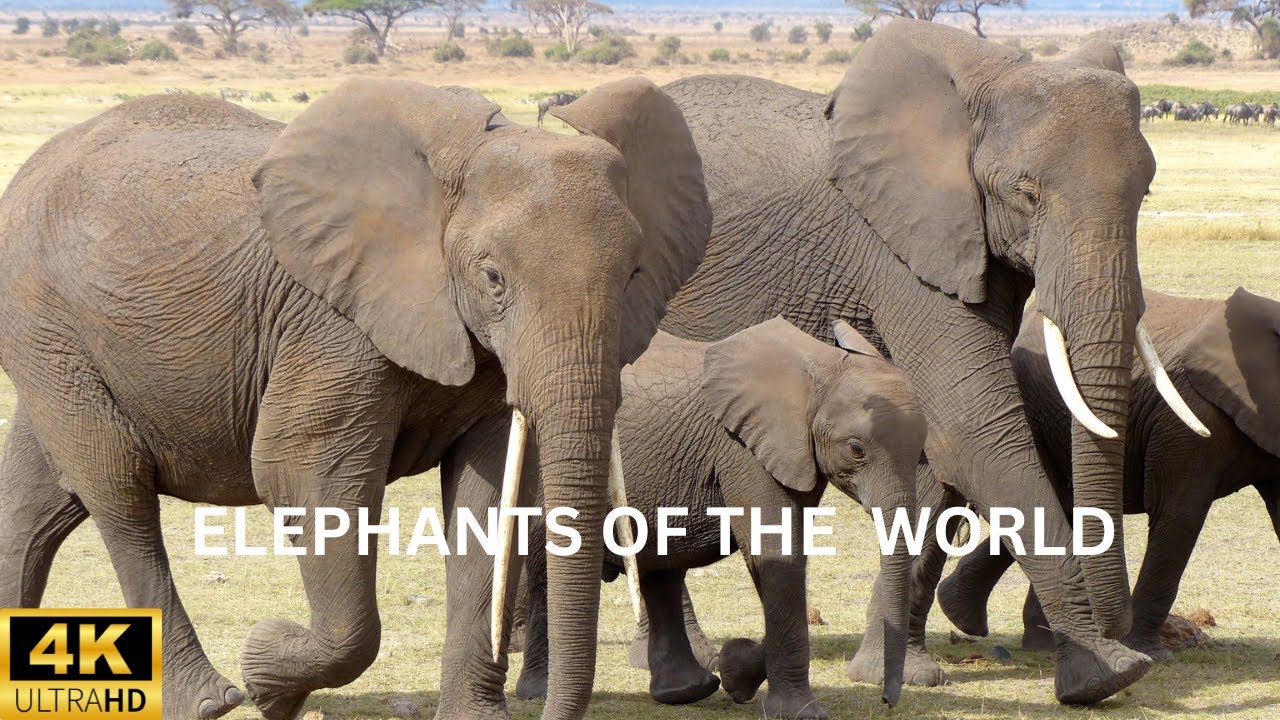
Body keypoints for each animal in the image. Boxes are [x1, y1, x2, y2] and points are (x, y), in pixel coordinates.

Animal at [0, 77, 711, 720]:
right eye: (492, 277)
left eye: (635, 274)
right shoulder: (330, 326)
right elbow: (301, 471)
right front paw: (268, 675)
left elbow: (484, 493)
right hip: (48, 327)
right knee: (117, 489)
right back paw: (210, 702)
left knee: (37, 501)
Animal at [513, 317, 927, 717]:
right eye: (856, 449)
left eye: (921, 450)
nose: (887, 702)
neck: (818, 366)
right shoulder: (744, 449)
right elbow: (777, 554)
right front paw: (799, 712)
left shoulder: (792, 453)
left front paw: (734, 672)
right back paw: (537, 691)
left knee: (660, 569)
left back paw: (687, 690)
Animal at [654, 20, 1210, 704]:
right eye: (1026, 193)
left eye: (1146, 191)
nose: (1120, 629)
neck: (990, 80)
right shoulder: (900, 250)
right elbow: (975, 425)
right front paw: (1105, 674)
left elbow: (936, 446)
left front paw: (897, 673)